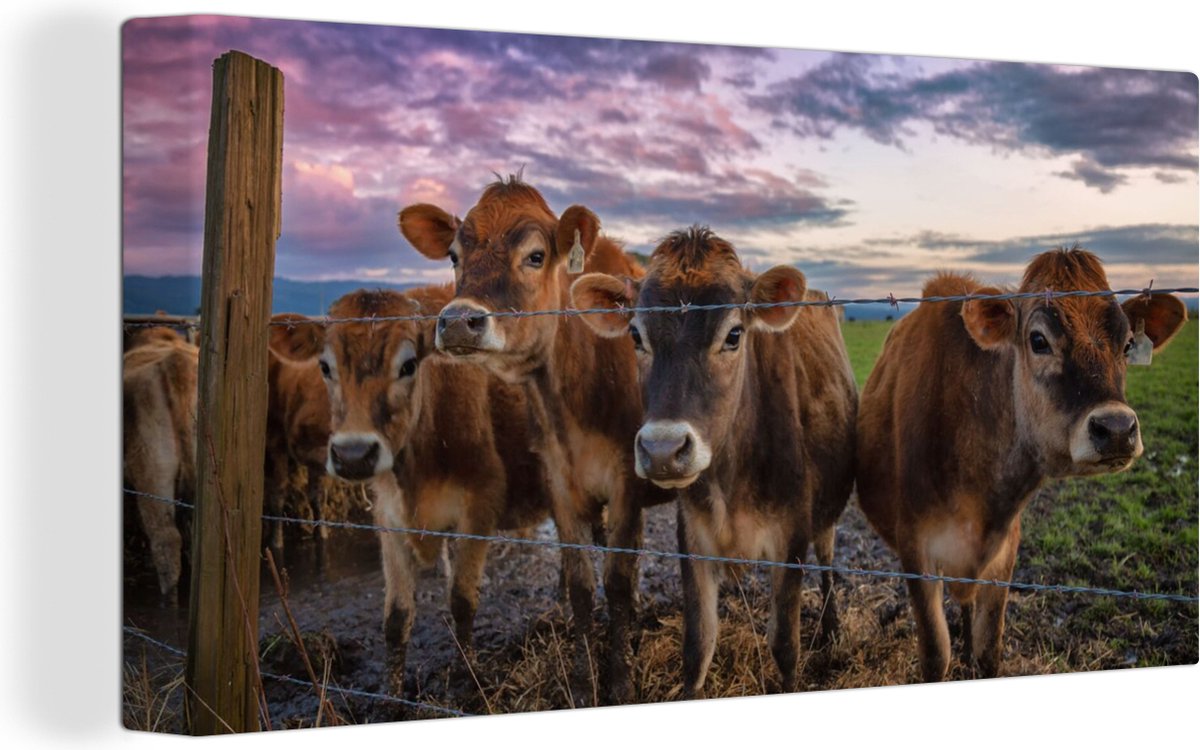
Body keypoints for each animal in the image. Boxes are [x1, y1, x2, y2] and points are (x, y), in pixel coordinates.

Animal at [399, 177, 673, 703]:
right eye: (453, 255)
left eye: (535, 255)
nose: (458, 321)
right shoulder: (558, 482)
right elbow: (584, 585)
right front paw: (585, 682)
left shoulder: (628, 483)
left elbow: (617, 582)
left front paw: (621, 681)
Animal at [570, 227, 858, 697]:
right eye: (636, 336)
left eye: (734, 334)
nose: (663, 450)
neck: (732, 478)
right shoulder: (694, 538)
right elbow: (697, 646)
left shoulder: (792, 537)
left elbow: (785, 646)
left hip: (826, 515)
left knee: (829, 563)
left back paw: (832, 630)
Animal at [855, 248, 1188, 682]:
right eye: (1038, 340)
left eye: (1129, 343)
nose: (1116, 428)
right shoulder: (916, 550)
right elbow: (935, 654)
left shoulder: (1004, 551)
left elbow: (988, 650)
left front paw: (974, 655)